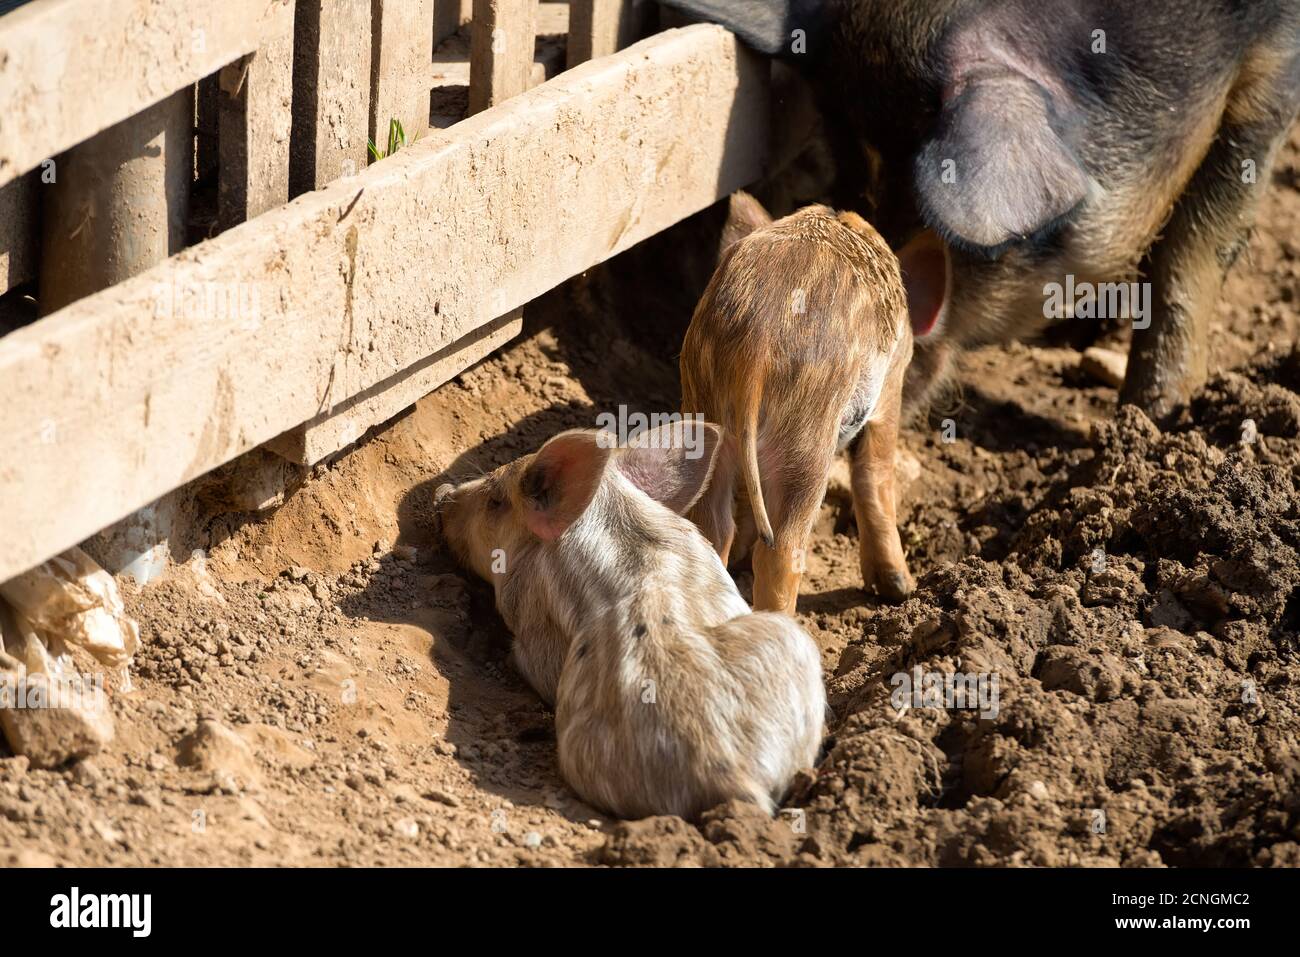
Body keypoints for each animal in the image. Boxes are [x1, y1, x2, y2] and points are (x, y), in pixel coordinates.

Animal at [680, 200, 914, 614]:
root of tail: (755, 342)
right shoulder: (892, 384)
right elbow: (875, 473)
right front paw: (903, 589)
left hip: (702, 411)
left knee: (712, 527)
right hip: (806, 442)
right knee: (782, 550)